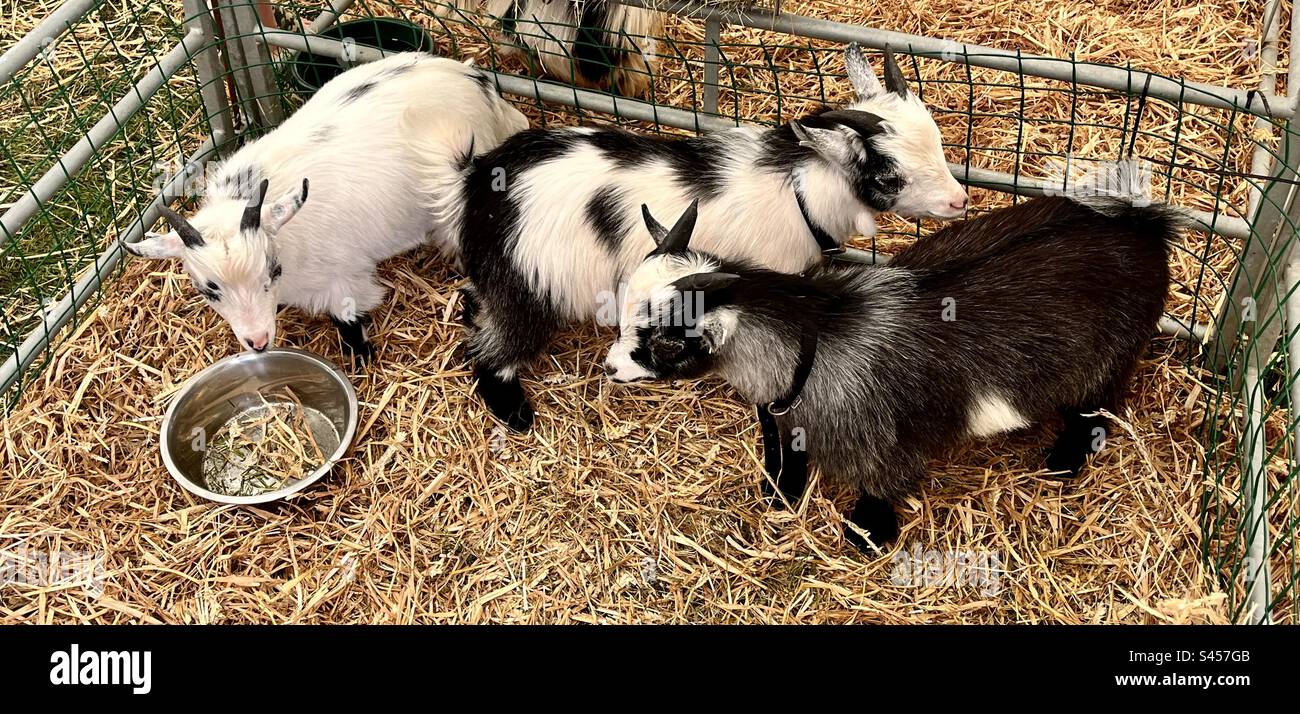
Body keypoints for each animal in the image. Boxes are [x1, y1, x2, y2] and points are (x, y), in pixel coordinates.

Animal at [124, 53, 528, 360]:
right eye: (208, 290)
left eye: (273, 270)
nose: (259, 342)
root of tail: (478, 84)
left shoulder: (343, 280)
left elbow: (349, 322)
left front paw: (361, 358)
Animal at [441, 44, 968, 431]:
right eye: (889, 177)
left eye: (940, 143)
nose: (960, 201)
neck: (798, 192)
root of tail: (479, 182)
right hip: (529, 281)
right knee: (494, 350)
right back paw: (515, 412)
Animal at [603, 182, 1177, 549]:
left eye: (667, 343)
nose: (609, 368)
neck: (819, 340)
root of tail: (1145, 229)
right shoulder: (783, 414)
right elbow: (786, 456)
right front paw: (780, 494)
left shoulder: (886, 440)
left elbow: (881, 484)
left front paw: (867, 535)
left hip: (1111, 357)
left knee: (1096, 410)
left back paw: (1063, 459)